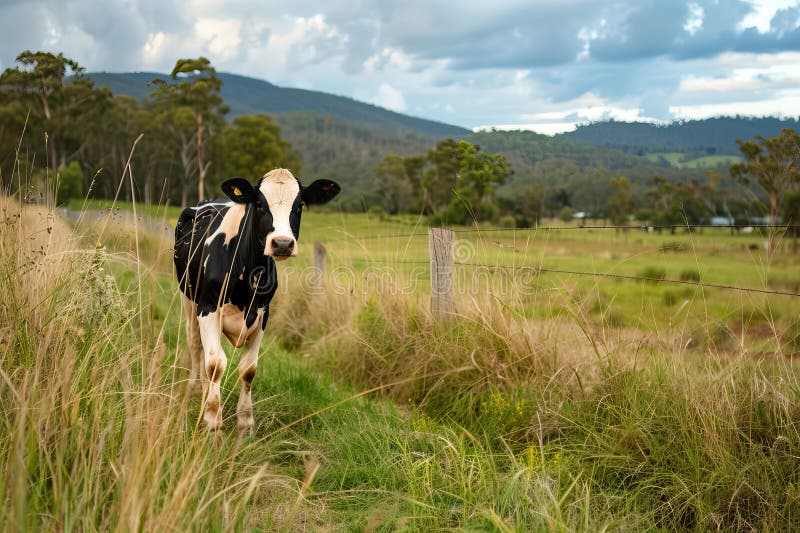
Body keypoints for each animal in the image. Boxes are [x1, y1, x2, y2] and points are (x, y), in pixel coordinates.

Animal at [174, 168, 340, 432]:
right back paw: (195, 392)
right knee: (196, 347)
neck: (249, 273)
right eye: (260, 204)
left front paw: (245, 421)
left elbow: (248, 368)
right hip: (189, 301)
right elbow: (214, 364)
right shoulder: (208, 308)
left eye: (300, 205)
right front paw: (212, 420)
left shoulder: (263, 314)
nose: (282, 243)